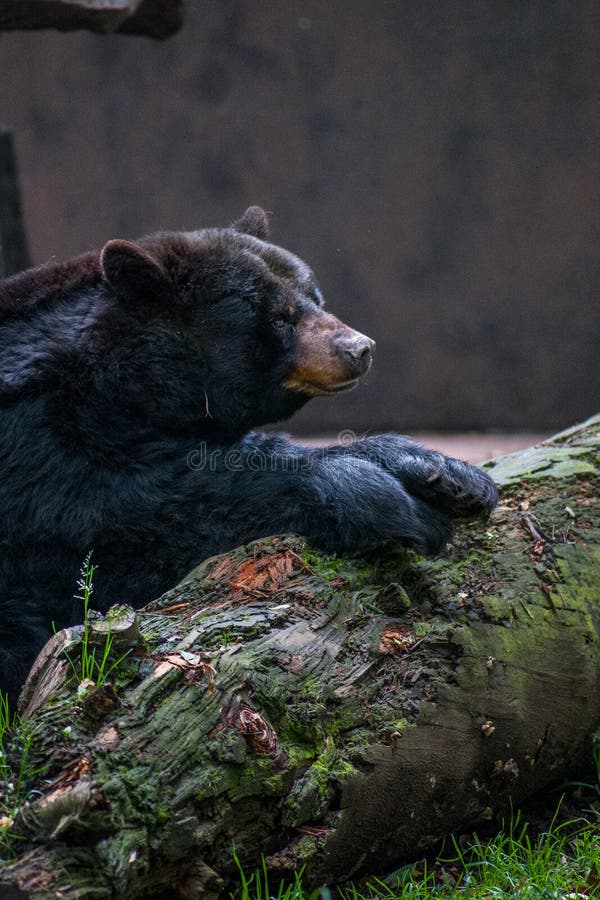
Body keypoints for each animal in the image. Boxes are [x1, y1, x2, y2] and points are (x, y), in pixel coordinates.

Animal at [0, 206, 498, 704]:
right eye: (278, 318)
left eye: (315, 297)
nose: (359, 347)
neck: (109, 385)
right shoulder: (41, 450)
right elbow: (148, 519)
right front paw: (392, 503)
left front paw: (452, 477)